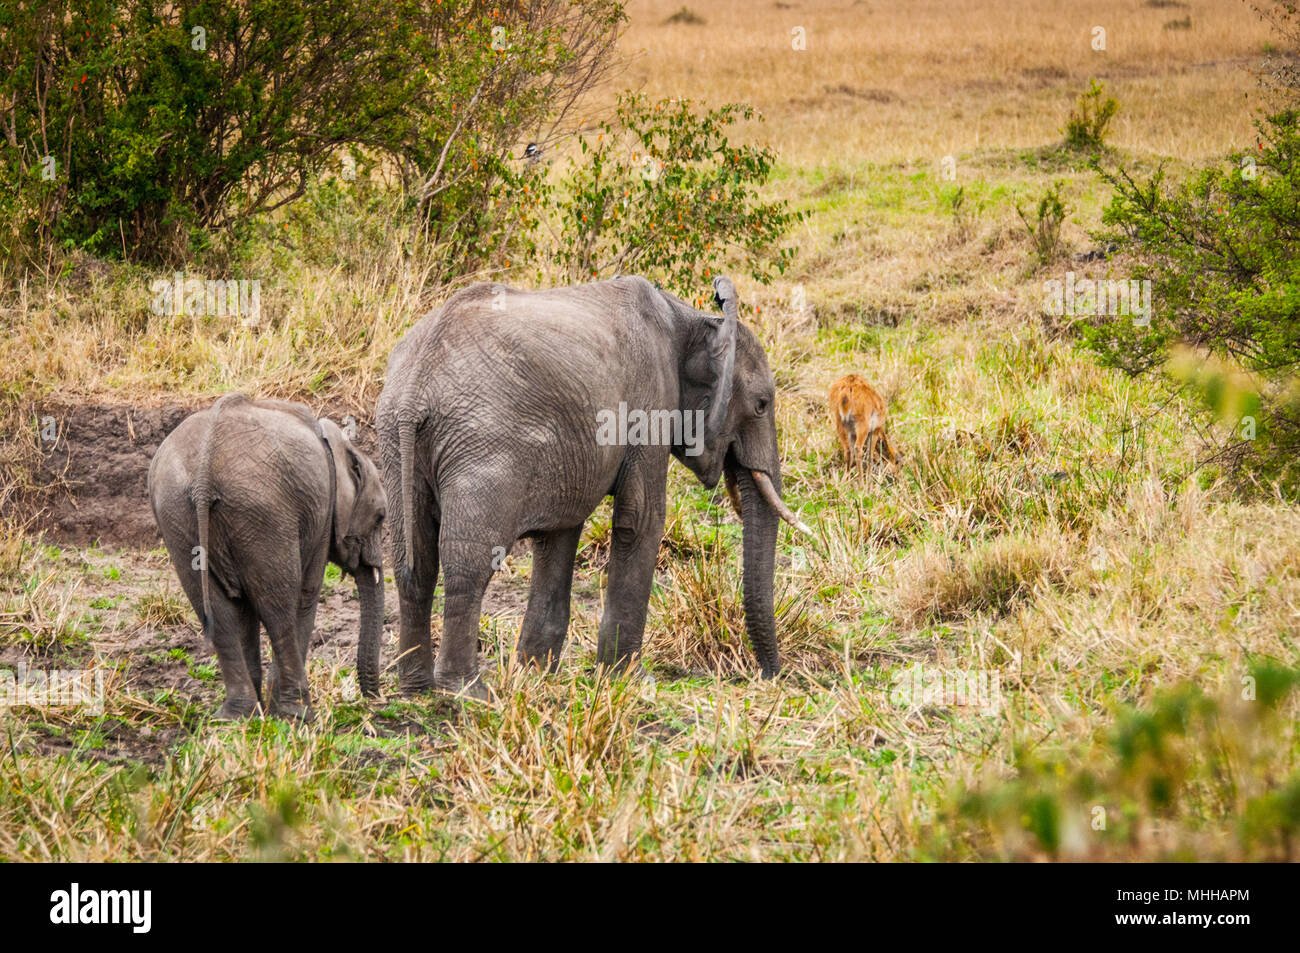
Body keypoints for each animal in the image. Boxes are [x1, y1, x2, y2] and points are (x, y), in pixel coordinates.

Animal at [148, 393, 387, 719]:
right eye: (381, 517)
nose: (374, 699)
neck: (339, 444)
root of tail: (204, 477)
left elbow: (242, 612)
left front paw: (262, 711)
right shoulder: (322, 513)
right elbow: (306, 593)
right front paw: (282, 711)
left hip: (177, 512)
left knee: (219, 613)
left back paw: (236, 716)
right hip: (264, 512)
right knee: (280, 609)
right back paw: (298, 713)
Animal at [375, 274, 809, 698]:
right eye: (761, 405)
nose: (770, 676)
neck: (691, 318)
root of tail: (414, 390)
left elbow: (559, 532)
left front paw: (536, 674)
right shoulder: (650, 401)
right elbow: (641, 519)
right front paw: (630, 680)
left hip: (395, 442)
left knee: (415, 561)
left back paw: (416, 689)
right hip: (481, 443)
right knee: (468, 561)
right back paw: (467, 693)